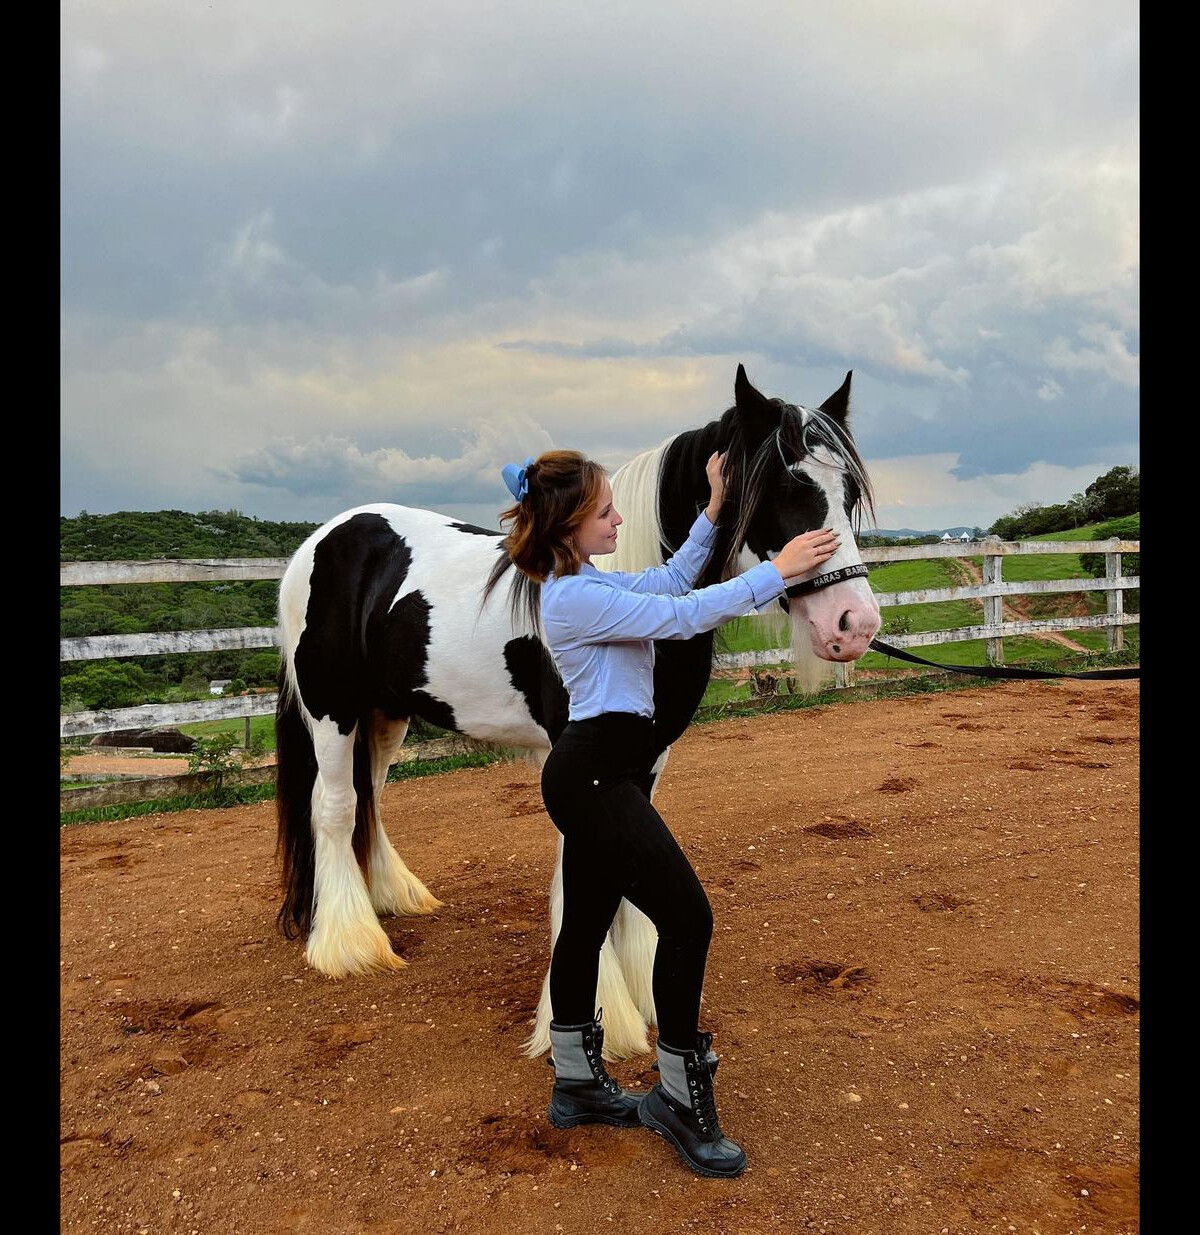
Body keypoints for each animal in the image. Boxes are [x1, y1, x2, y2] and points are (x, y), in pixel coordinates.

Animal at [273, 363, 882, 1060]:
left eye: (848, 495)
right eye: (785, 486)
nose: (855, 625)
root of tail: (323, 539)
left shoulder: (645, 756)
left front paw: (642, 994)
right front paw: (605, 1018)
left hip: (386, 715)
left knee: (368, 800)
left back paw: (389, 899)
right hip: (333, 711)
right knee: (334, 806)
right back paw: (349, 944)